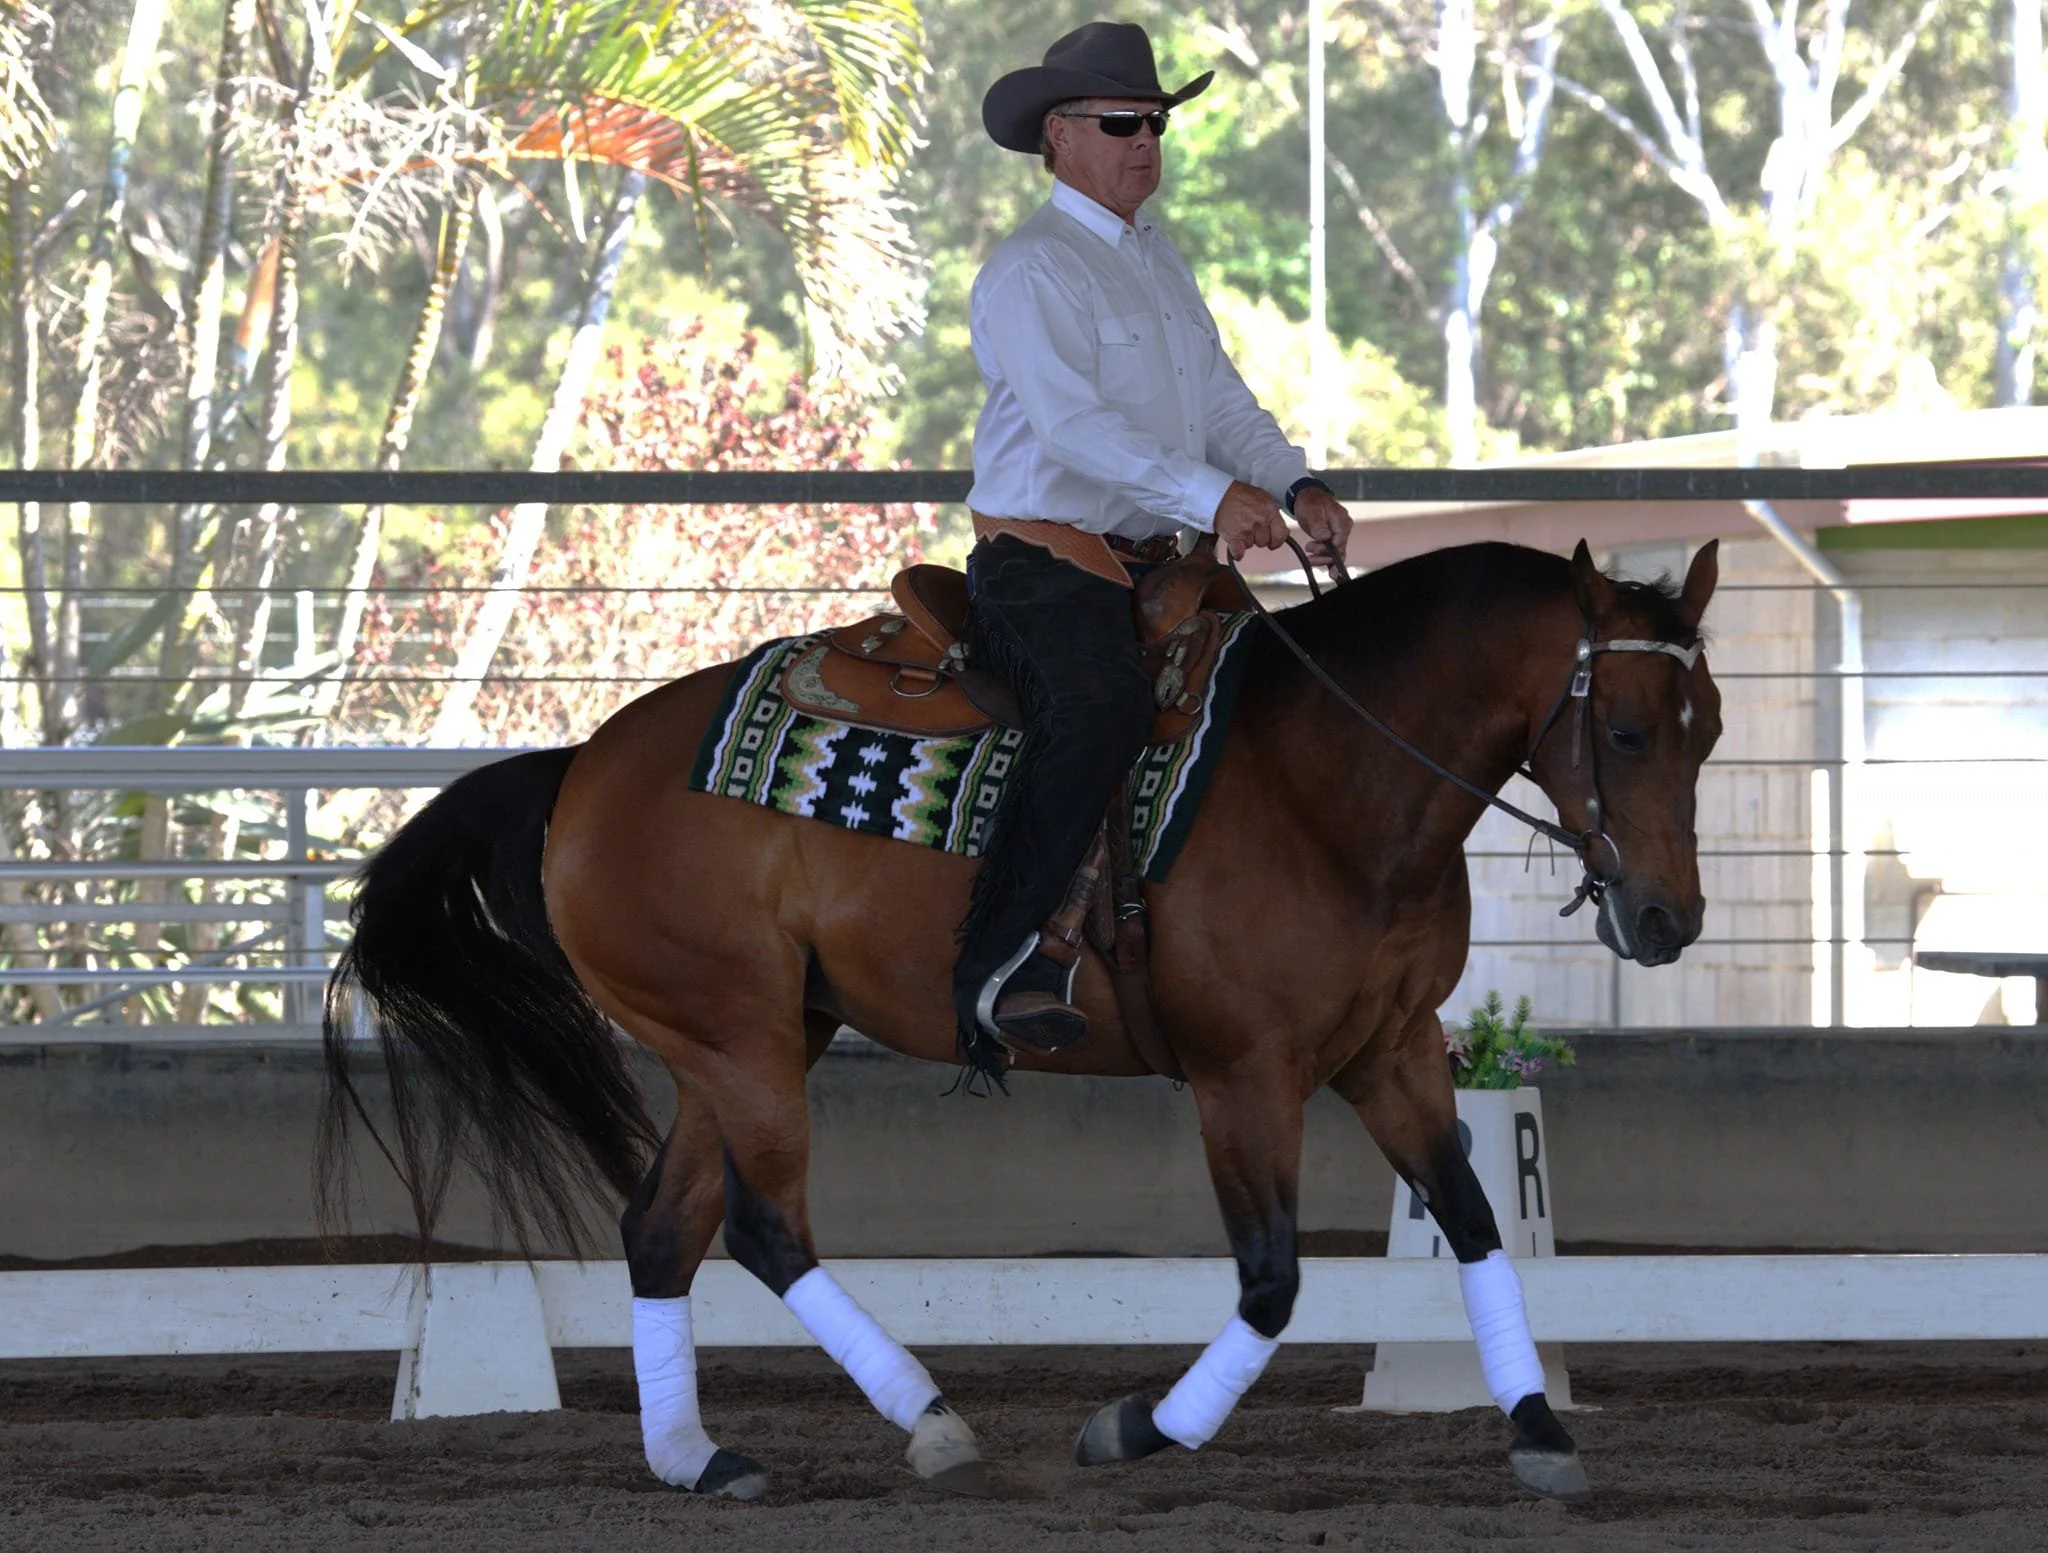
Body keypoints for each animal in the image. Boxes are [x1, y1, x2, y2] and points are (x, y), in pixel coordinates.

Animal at [319, 535, 1721, 1505]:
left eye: (1703, 733)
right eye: (1626, 728)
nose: (1667, 919)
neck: (1326, 781)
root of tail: (581, 764)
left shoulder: (1393, 1052)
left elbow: (1474, 1220)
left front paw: (1539, 1429)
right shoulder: (1245, 1074)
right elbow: (1271, 1279)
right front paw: (1140, 1427)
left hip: (752, 1039)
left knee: (663, 1228)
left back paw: (697, 1456)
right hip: (738, 1039)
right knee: (766, 1228)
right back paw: (928, 1418)